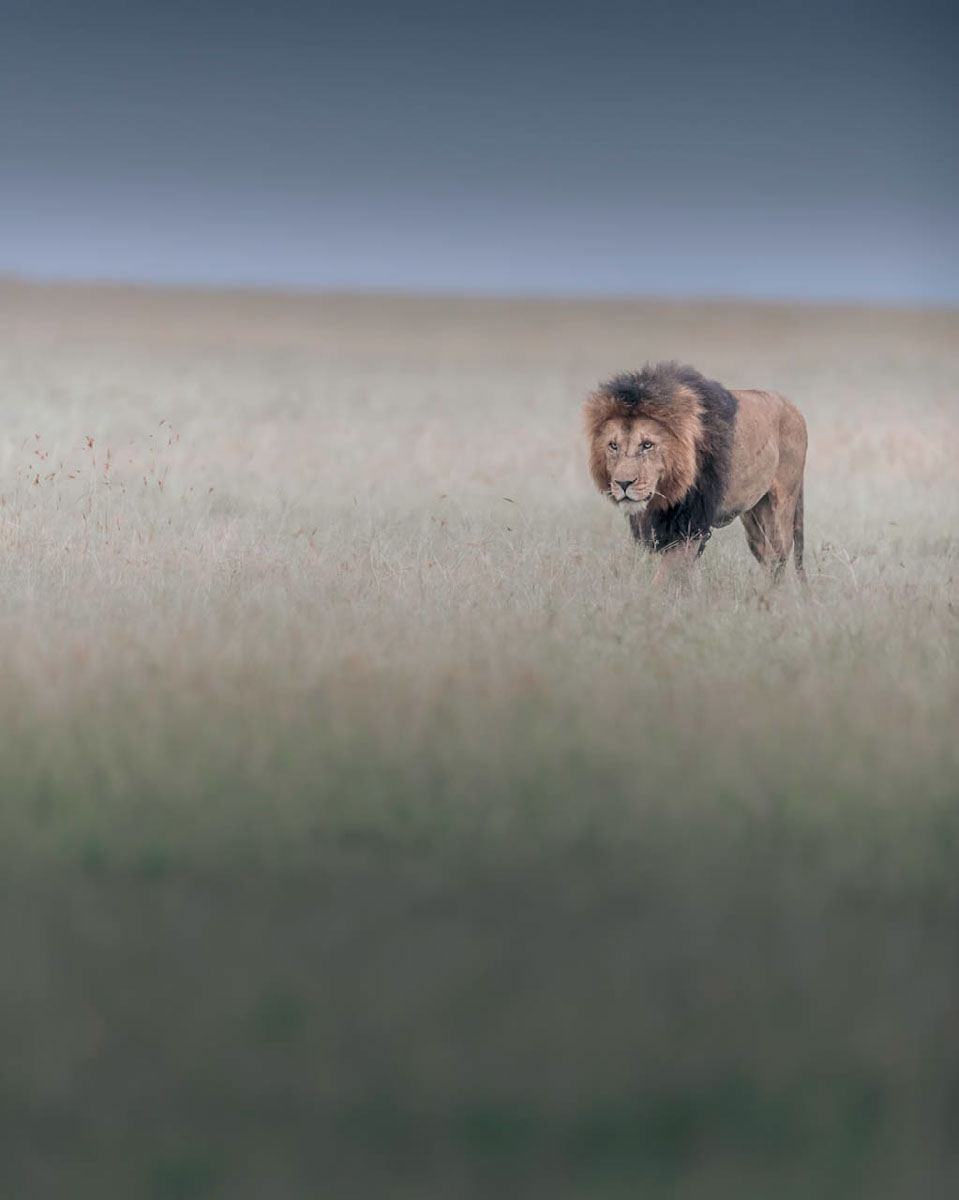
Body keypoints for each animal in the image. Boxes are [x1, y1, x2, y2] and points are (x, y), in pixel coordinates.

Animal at [584, 362, 807, 587]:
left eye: (647, 445)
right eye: (613, 446)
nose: (623, 483)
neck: (668, 490)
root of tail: (794, 408)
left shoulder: (690, 522)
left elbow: (663, 578)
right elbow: (688, 574)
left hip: (781, 506)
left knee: (777, 558)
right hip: (754, 515)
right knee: (764, 555)